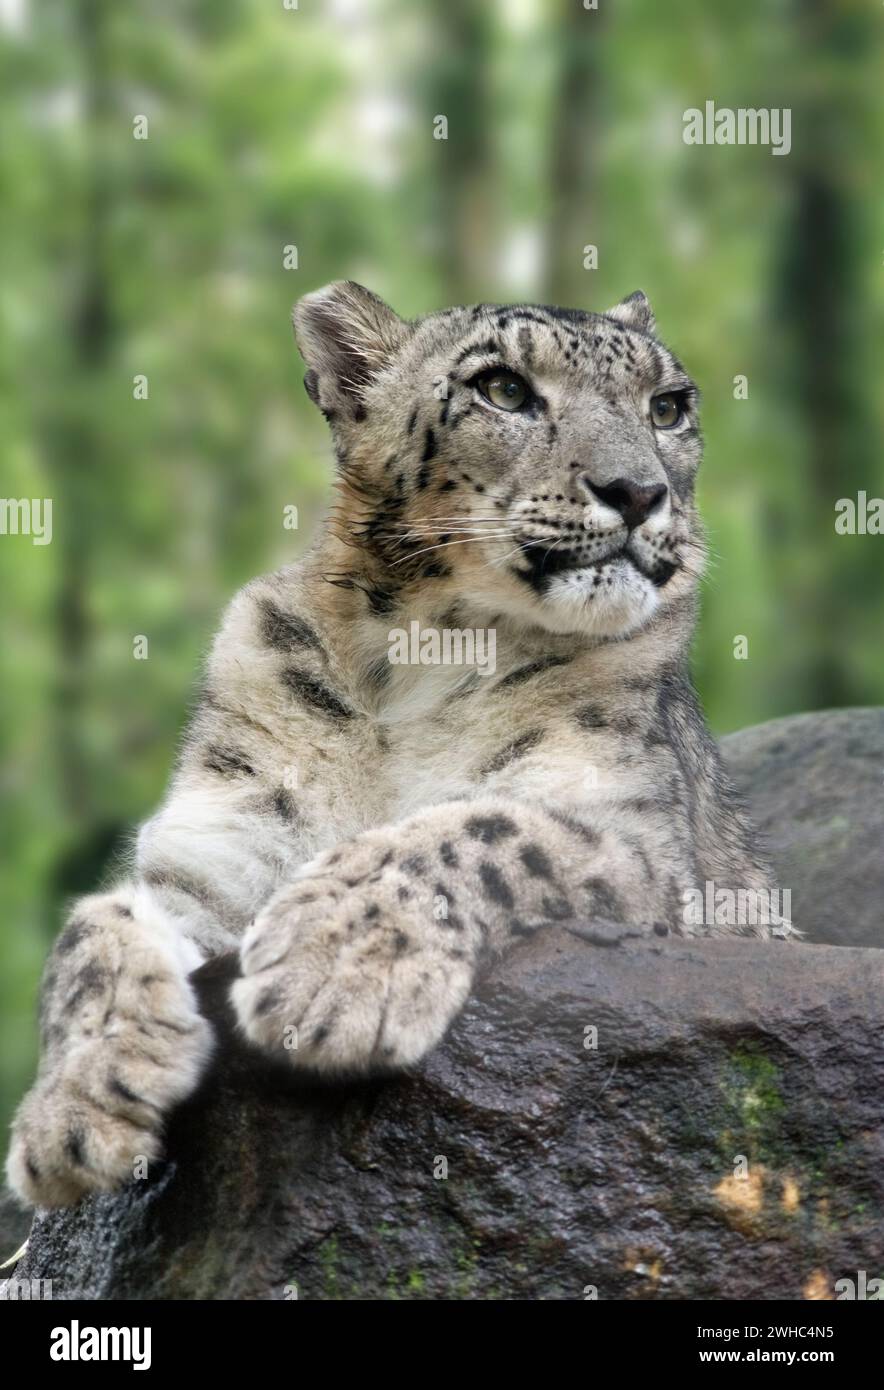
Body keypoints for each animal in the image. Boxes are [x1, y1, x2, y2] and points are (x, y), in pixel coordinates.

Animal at [7, 281, 782, 1209]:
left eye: (668, 406)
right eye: (503, 389)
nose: (637, 491)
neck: (421, 663)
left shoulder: (638, 844)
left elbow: (475, 825)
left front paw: (330, 967)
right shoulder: (220, 840)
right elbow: (93, 925)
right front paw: (72, 1111)